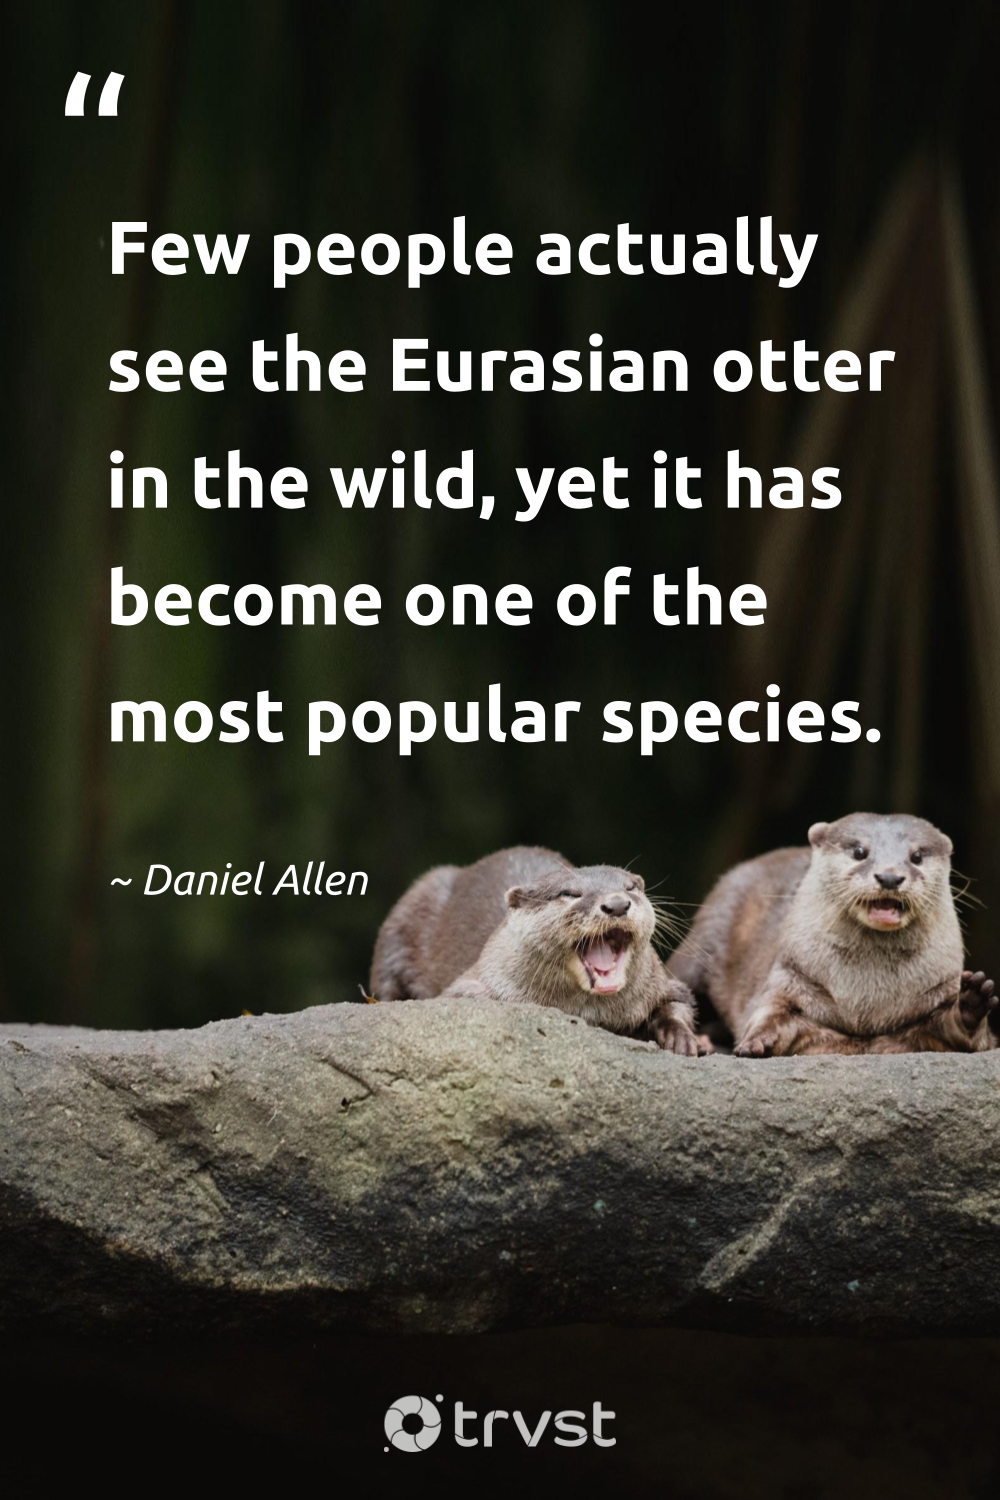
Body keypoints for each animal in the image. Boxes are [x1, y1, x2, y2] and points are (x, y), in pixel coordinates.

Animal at [370, 846, 709, 1054]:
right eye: (571, 893)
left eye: (630, 887)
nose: (617, 903)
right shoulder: (474, 982)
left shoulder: (661, 981)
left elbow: (678, 1001)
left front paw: (682, 1038)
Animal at [668, 813, 997, 1056]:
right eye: (860, 851)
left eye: (916, 855)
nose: (890, 876)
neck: (867, 1002)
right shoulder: (791, 975)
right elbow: (769, 1010)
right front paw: (756, 1040)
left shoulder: (938, 991)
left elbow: (959, 1032)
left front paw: (971, 1002)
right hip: (703, 943)